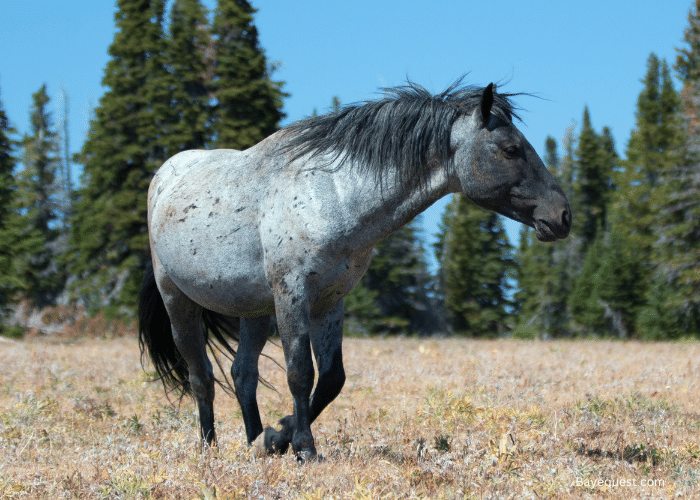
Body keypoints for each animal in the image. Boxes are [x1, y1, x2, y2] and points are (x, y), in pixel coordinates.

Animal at [138, 80, 571, 461]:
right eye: (511, 149)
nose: (563, 215)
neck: (332, 198)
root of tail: (164, 175)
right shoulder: (292, 294)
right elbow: (299, 372)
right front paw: (304, 449)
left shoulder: (330, 301)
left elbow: (331, 379)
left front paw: (277, 438)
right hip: (180, 303)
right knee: (201, 375)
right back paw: (209, 447)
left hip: (255, 311)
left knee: (242, 372)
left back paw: (253, 441)